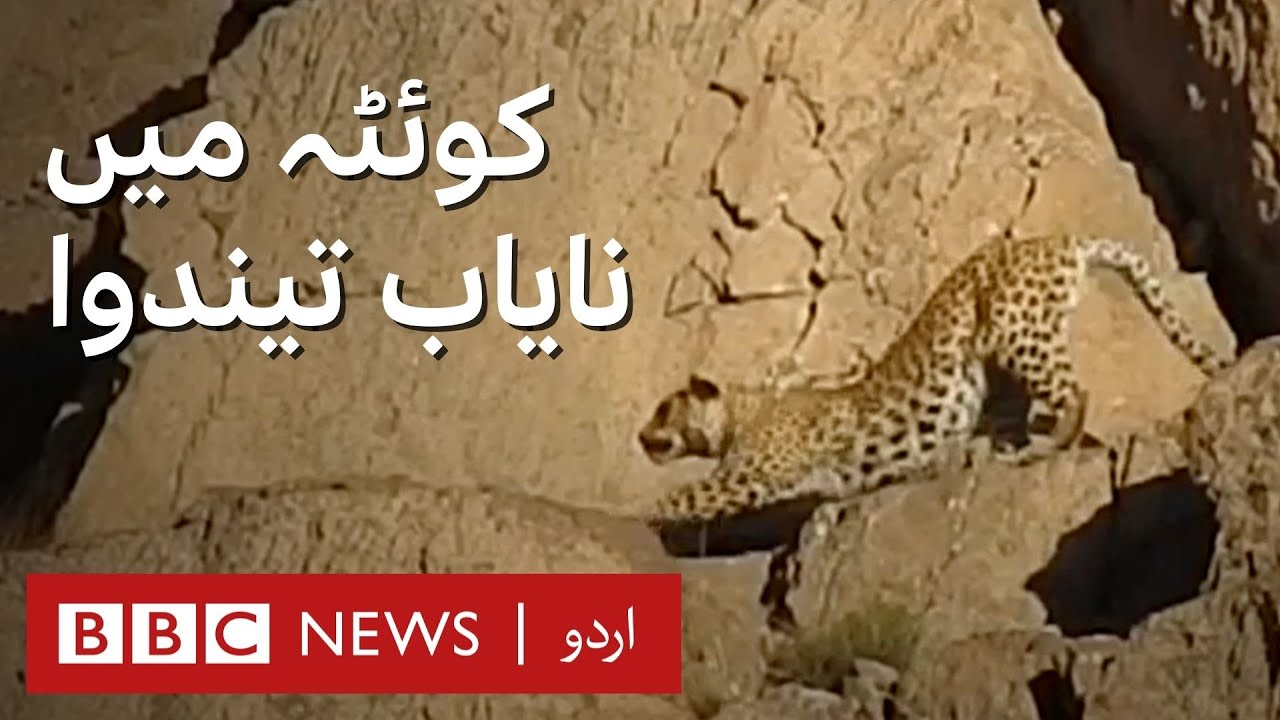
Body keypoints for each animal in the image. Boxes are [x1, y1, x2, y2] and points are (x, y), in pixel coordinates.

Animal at [638, 233, 1232, 528]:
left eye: (664, 410)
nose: (640, 438)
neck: (741, 412)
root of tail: (1062, 238)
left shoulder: (745, 477)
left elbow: (682, 497)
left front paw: (638, 512)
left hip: (1015, 332)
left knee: (1073, 390)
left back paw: (1042, 448)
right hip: (996, 360)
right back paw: (989, 450)